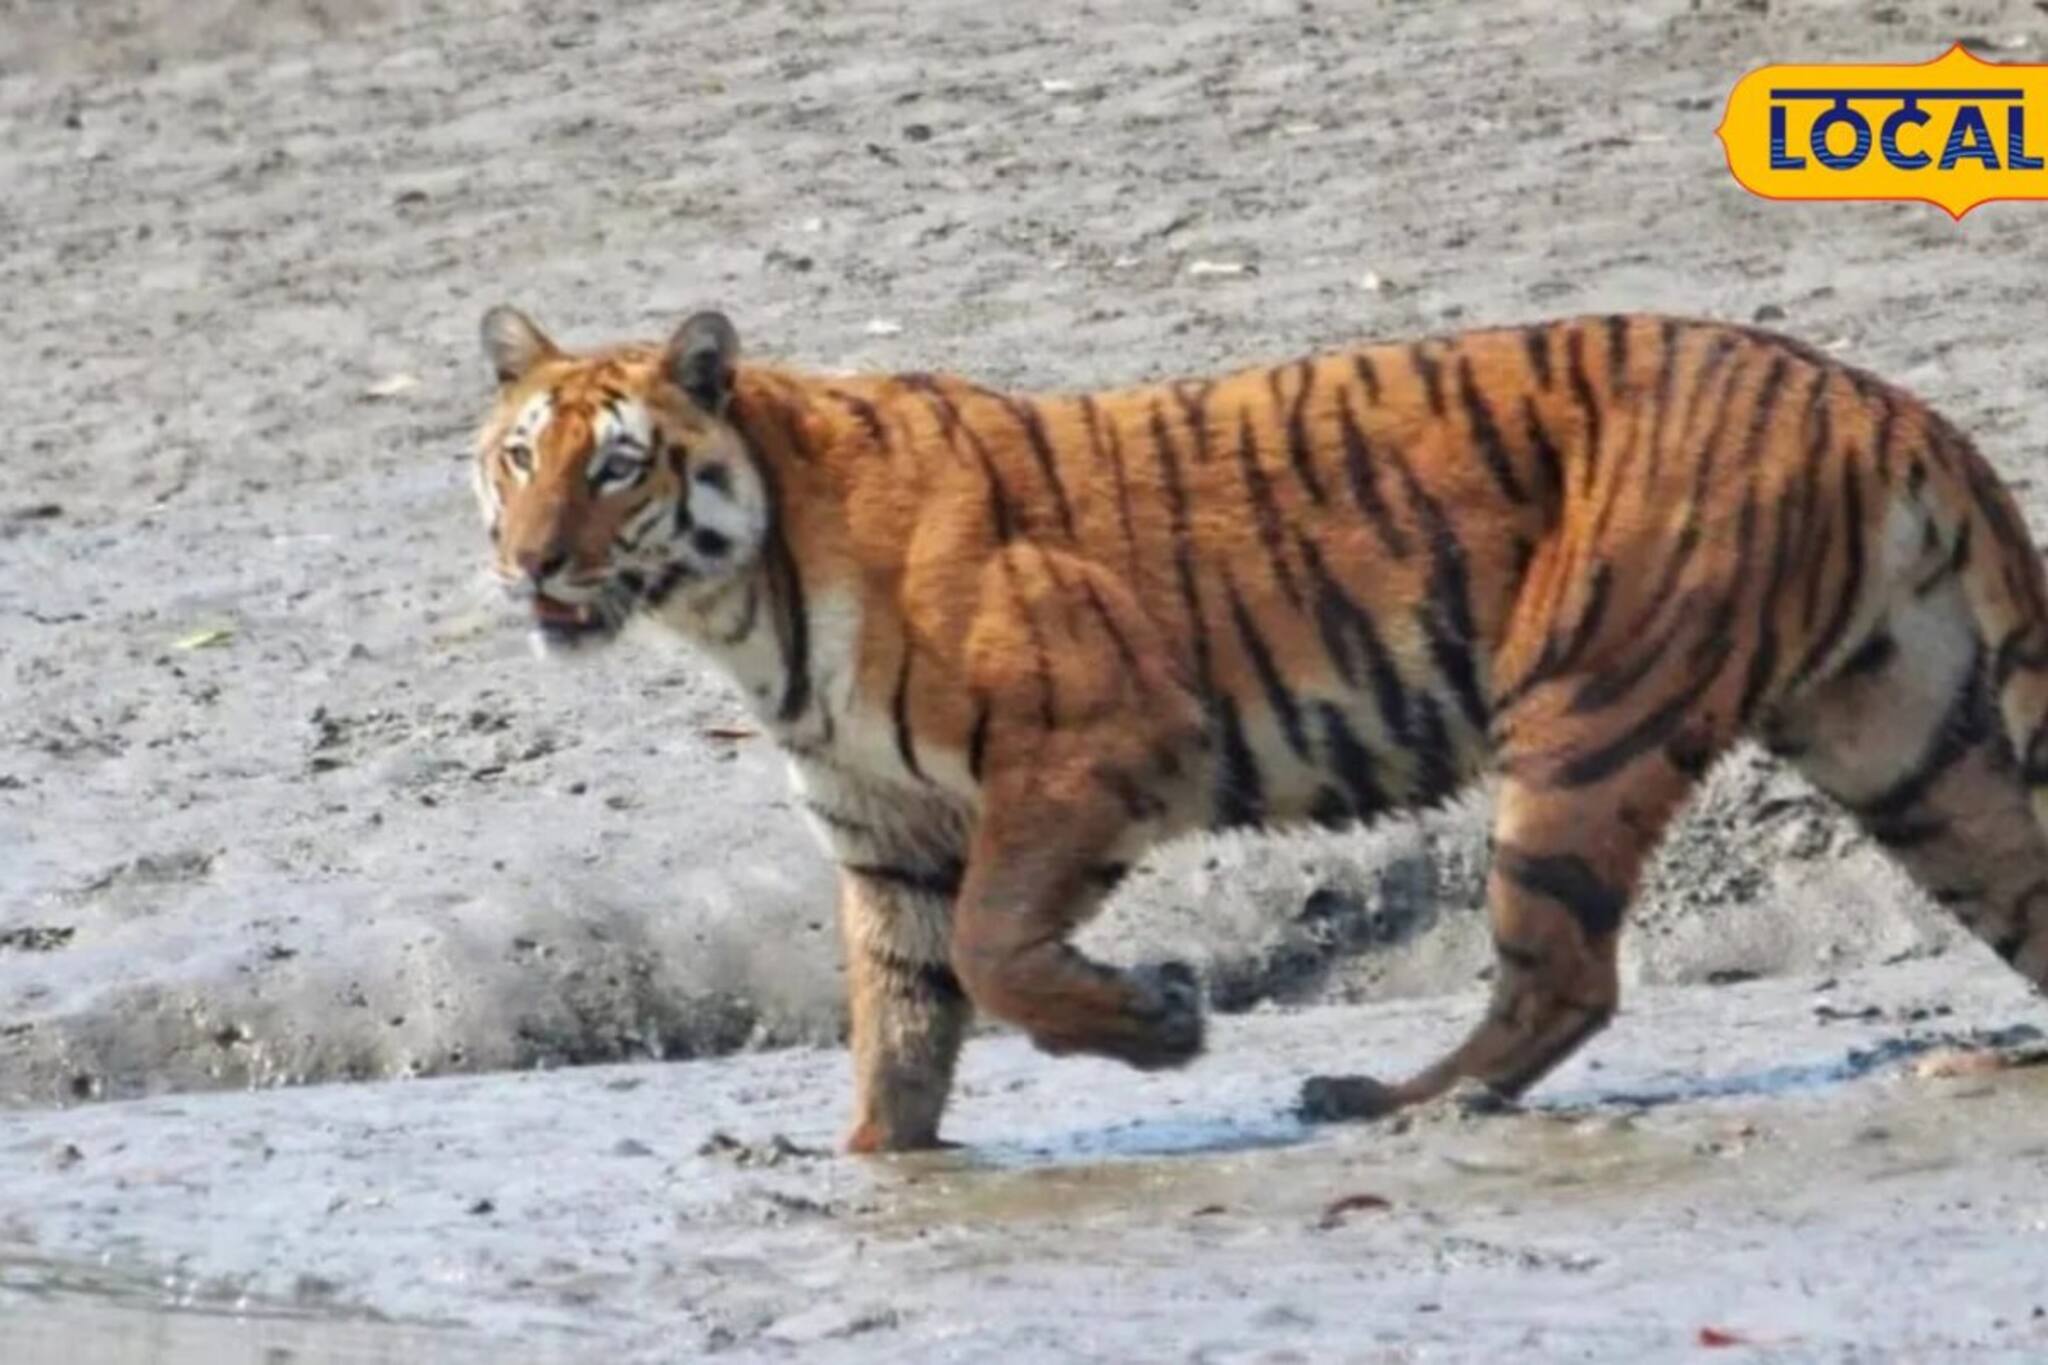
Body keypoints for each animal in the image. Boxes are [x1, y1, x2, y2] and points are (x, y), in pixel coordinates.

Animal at [469, 303, 2048, 1153]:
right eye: (517, 457)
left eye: (614, 470)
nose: (531, 562)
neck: (745, 610)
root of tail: (1872, 393)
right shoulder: (884, 836)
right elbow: (902, 1026)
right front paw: (873, 1168)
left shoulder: (1086, 745)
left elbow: (994, 949)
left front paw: (1160, 1027)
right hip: (1903, 737)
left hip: (1588, 724)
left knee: (1563, 976)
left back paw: (1387, 1103)